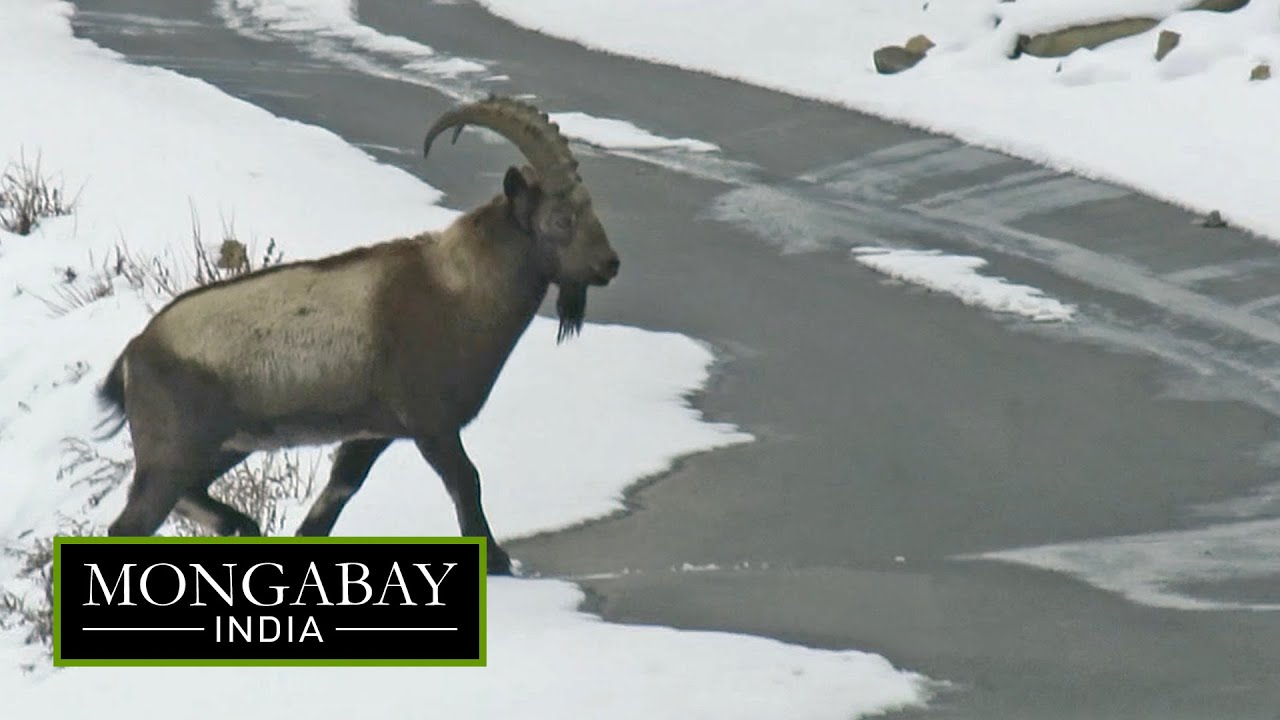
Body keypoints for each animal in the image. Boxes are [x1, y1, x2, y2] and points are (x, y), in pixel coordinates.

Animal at [95, 97, 620, 574]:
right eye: (561, 220)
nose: (609, 265)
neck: (462, 290)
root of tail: (134, 354)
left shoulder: (374, 433)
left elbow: (339, 490)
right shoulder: (430, 422)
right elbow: (466, 480)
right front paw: (498, 560)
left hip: (224, 446)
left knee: (189, 494)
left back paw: (240, 524)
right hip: (174, 449)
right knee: (132, 522)